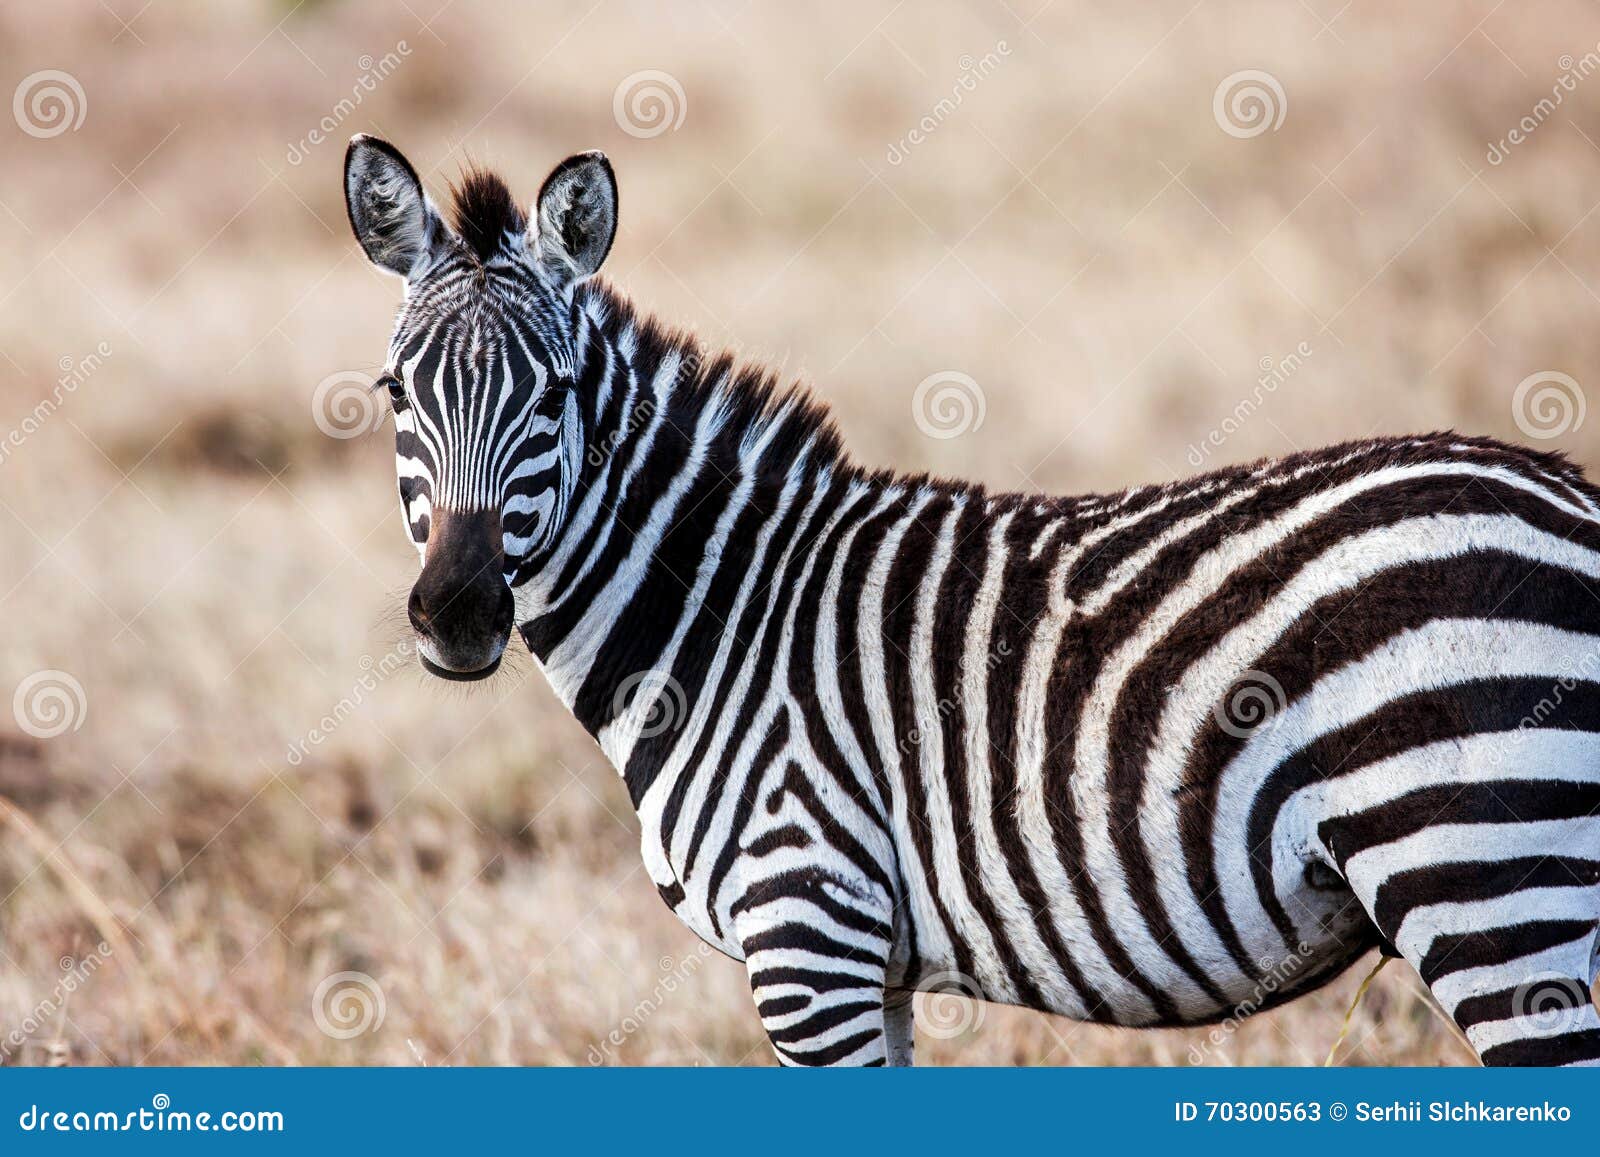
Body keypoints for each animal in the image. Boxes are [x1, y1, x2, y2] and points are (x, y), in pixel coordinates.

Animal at [342, 134, 1600, 1067]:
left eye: (554, 395)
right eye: (394, 392)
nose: (459, 613)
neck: (721, 612)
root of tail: (1562, 489)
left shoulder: (809, 932)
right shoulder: (871, 964)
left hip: (1489, 885)